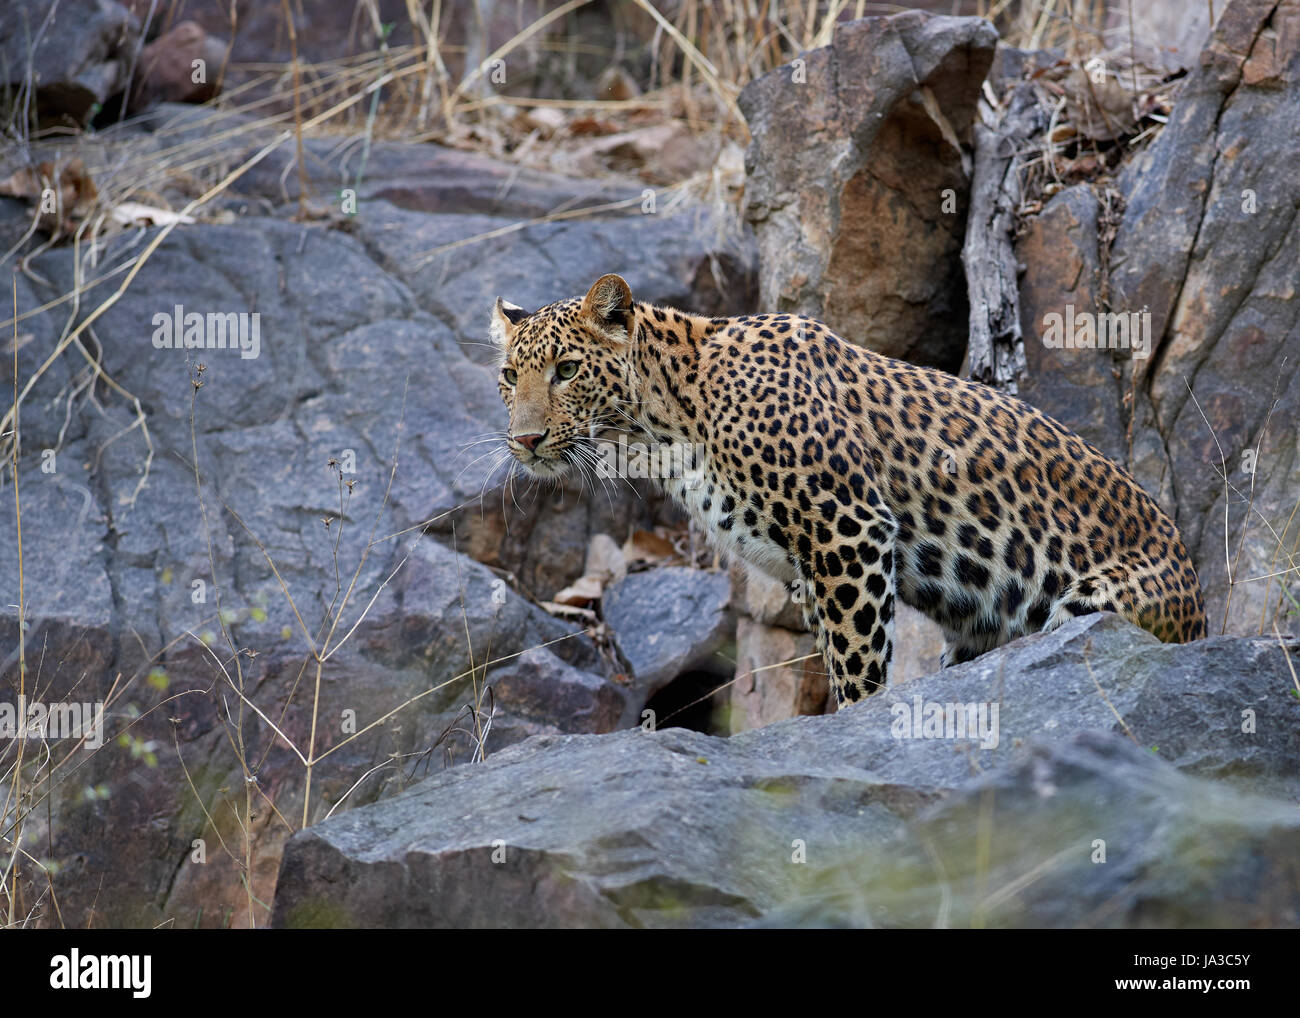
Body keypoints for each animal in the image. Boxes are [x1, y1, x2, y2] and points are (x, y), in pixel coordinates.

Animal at [489, 273, 1207, 707]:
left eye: (567, 370)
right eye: (508, 376)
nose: (524, 441)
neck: (666, 423)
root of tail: (1200, 606)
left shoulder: (847, 529)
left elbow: (859, 660)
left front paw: (856, 724)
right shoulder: (810, 567)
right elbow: (837, 650)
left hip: (1092, 605)